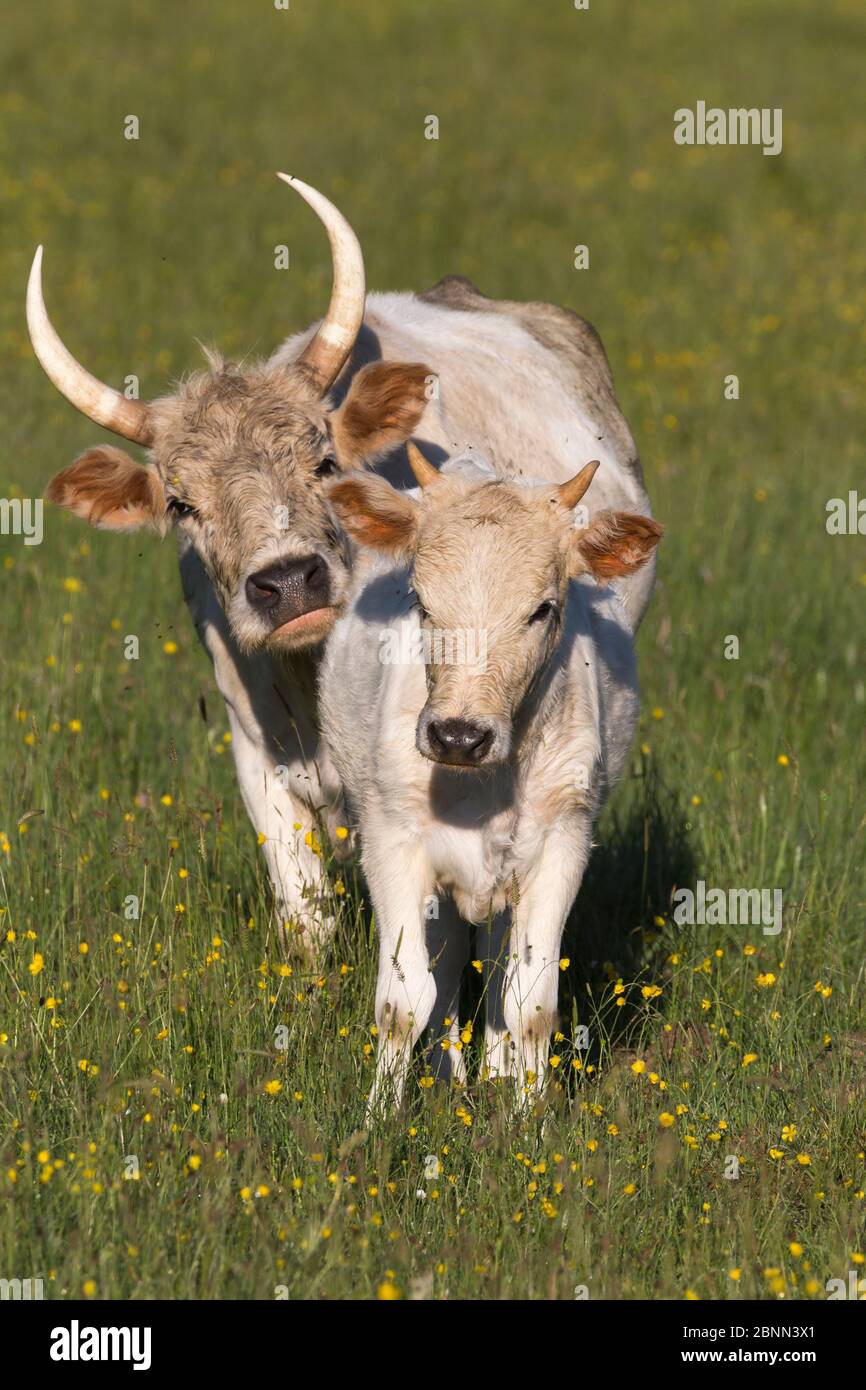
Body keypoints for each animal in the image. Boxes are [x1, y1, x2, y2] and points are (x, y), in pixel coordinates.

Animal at [320, 447, 662, 1110]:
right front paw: (380, 1119)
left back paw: (498, 1073)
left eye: (542, 609)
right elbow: (404, 998)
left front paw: (529, 1118)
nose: (458, 735)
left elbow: (531, 1001)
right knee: (449, 960)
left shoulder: (561, 843)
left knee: (499, 958)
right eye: (421, 602)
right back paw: (447, 1071)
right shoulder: (391, 840)